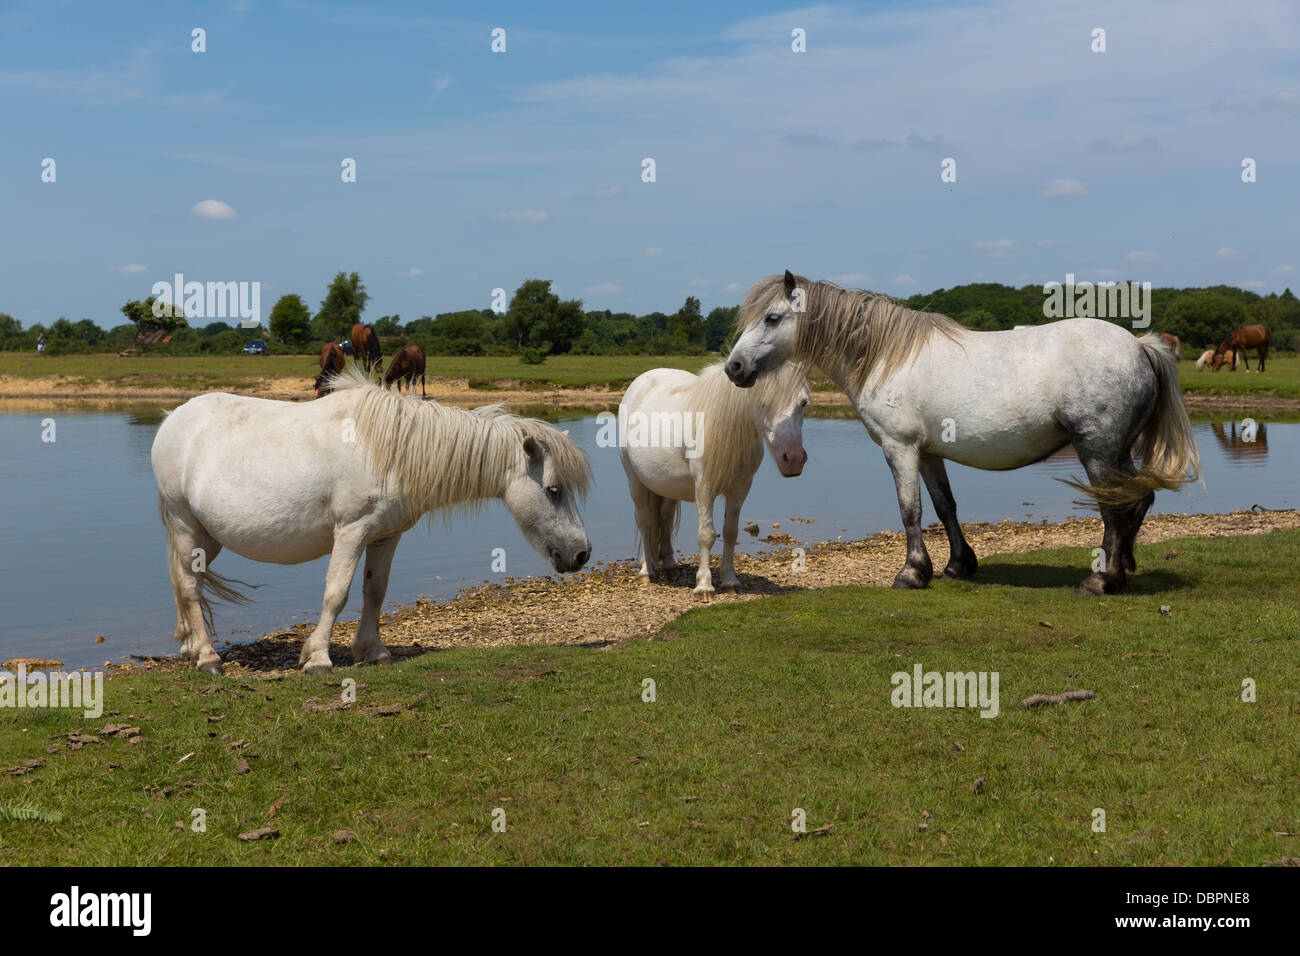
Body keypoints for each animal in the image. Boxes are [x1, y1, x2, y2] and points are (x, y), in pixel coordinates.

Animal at [151, 368, 591, 674]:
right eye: (554, 490)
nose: (582, 553)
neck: (392, 450)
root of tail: (173, 418)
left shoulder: (386, 536)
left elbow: (374, 591)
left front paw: (373, 651)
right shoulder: (351, 531)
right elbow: (337, 592)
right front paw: (318, 657)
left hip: (209, 535)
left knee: (184, 581)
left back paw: (190, 646)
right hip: (184, 521)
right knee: (189, 586)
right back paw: (208, 658)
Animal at [618, 362, 809, 601]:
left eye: (803, 402)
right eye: (763, 402)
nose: (793, 459)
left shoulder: (740, 489)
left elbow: (730, 532)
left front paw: (729, 581)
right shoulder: (704, 489)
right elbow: (707, 535)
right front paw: (704, 587)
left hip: (667, 486)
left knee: (665, 519)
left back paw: (670, 567)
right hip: (634, 480)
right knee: (644, 521)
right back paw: (646, 572)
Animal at [724, 271, 1200, 596]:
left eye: (772, 318)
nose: (734, 368)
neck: (886, 357)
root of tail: (1139, 346)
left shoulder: (900, 449)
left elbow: (910, 510)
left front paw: (912, 572)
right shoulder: (929, 453)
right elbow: (944, 507)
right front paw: (957, 565)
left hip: (1097, 450)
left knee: (1114, 507)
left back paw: (1102, 580)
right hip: (1117, 451)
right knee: (1137, 499)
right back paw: (1122, 568)